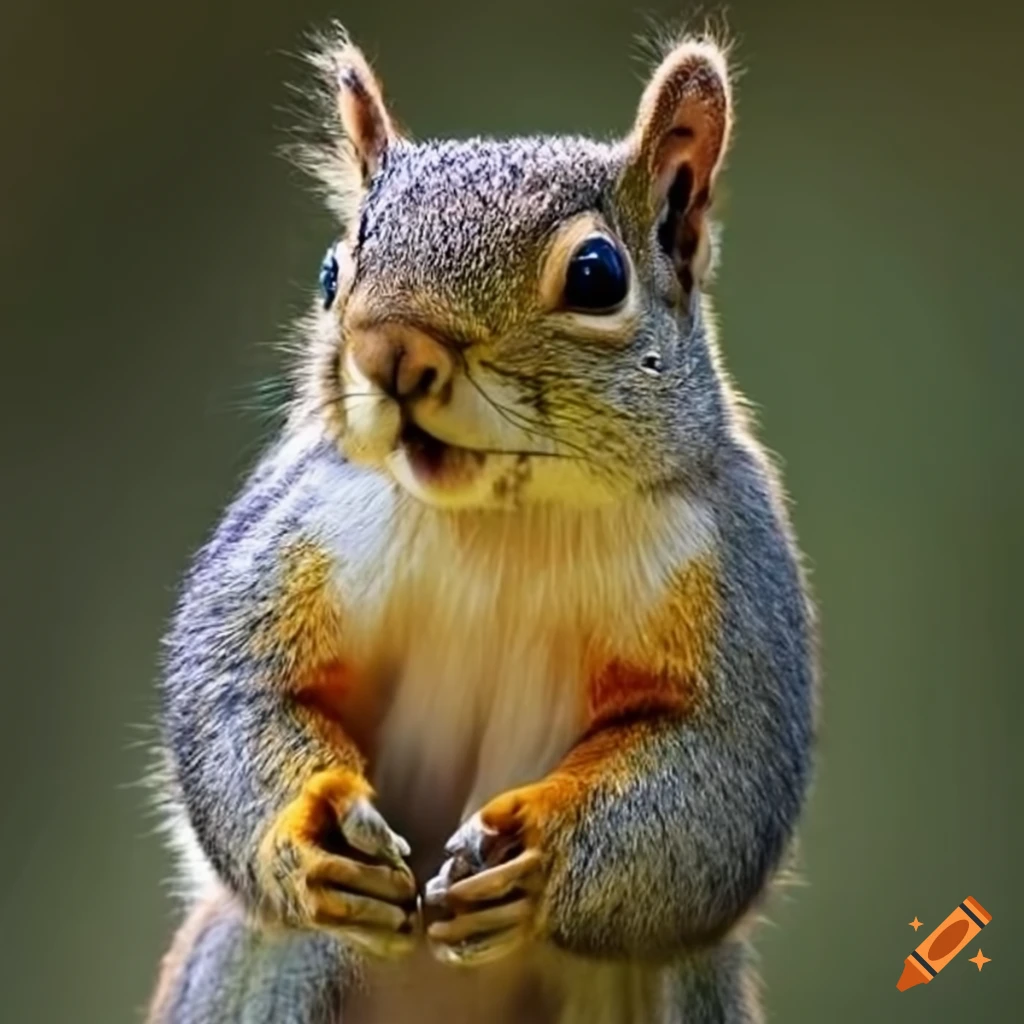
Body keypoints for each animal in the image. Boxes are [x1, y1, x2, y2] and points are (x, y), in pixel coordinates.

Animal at [146, 21, 817, 1024]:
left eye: (597, 276)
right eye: (331, 272)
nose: (390, 351)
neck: (504, 520)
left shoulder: (739, 579)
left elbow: (723, 763)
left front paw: (537, 851)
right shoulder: (294, 532)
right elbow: (241, 689)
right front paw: (315, 830)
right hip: (259, 966)